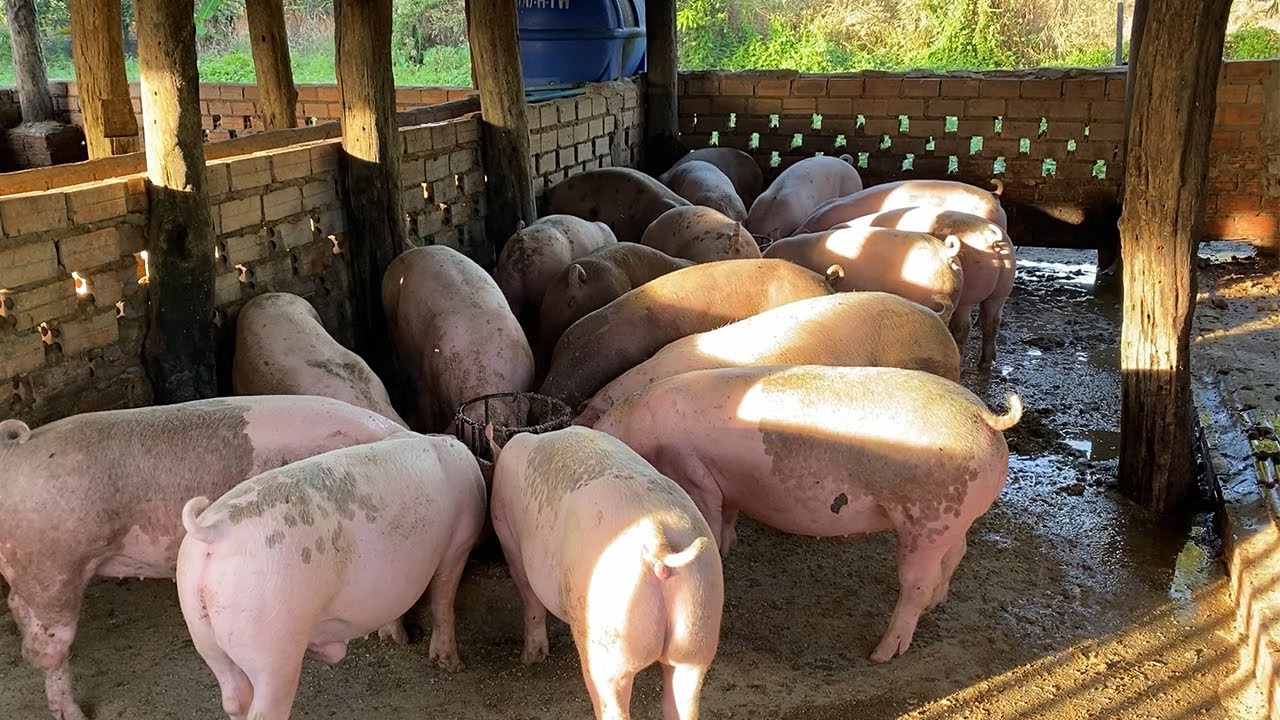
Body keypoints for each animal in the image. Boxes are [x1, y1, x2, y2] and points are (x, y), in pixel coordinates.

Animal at [0, 396, 406, 720]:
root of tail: (15, 450)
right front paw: (395, 636)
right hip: (52, 569)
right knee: (47, 647)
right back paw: (75, 714)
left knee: (19, 611)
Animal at [177, 431, 487, 720]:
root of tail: (214, 531)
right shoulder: (458, 544)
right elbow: (443, 604)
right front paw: (454, 666)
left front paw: (396, 640)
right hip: (273, 640)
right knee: (264, 707)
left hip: (203, 632)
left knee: (233, 697)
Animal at [488, 424, 723, 720]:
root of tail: (657, 542)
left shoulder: (509, 539)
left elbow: (530, 597)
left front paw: (530, 659)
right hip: (700, 625)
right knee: (682, 699)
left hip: (607, 643)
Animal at [592, 365, 1022, 663]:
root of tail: (985, 417)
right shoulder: (729, 483)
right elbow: (728, 515)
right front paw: (729, 546)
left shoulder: (694, 471)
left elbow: (709, 514)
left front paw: (719, 550)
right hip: (953, 518)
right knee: (957, 553)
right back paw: (938, 603)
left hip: (927, 520)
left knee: (915, 585)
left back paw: (882, 654)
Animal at [844, 206, 1017, 367]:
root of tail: (992, 235)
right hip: (1002, 290)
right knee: (992, 322)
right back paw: (984, 363)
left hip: (968, 294)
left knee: (963, 327)